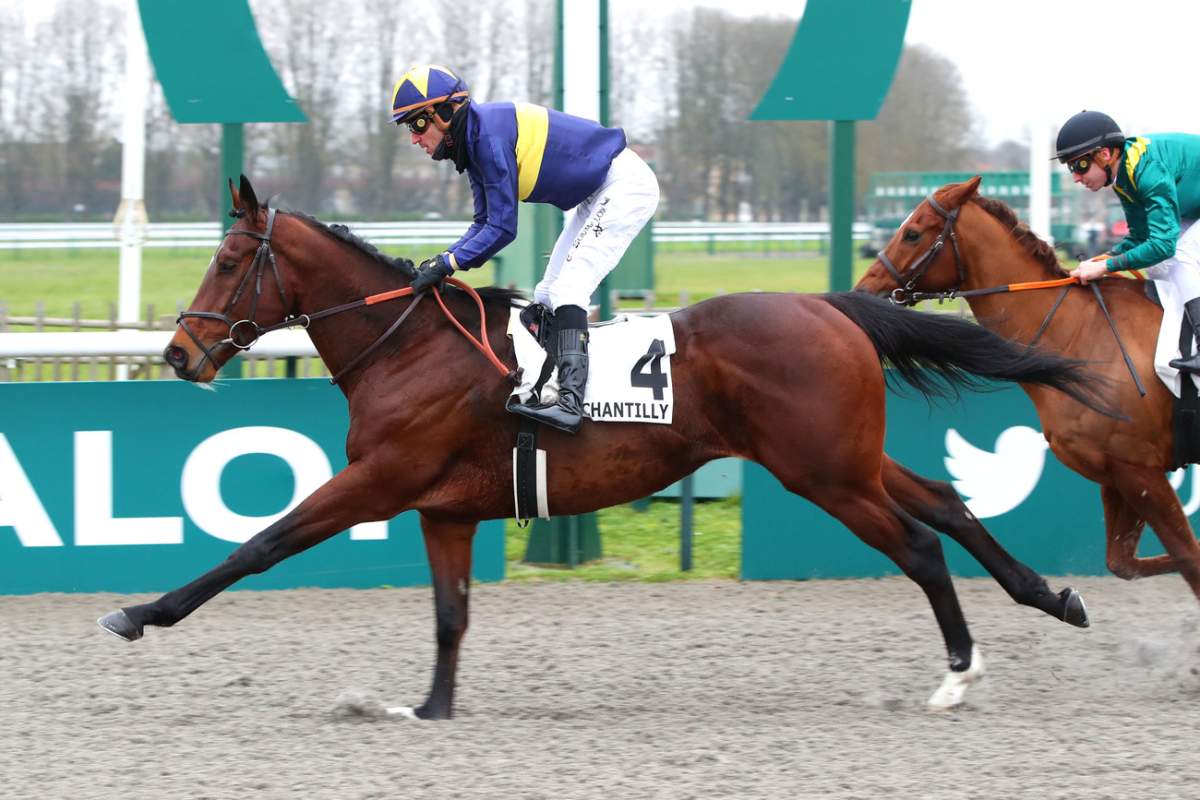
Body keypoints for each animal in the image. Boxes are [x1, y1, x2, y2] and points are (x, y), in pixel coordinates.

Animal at [97, 176, 1115, 718]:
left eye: (230, 261)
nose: (178, 352)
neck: (409, 345)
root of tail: (830, 306)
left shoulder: (378, 479)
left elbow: (259, 545)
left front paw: (140, 613)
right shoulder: (442, 508)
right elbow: (450, 614)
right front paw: (431, 706)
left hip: (823, 472)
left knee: (919, 544)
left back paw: (956, 676)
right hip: (849, 458)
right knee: (946, 506)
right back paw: (1052, 600)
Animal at [855, 175, 1200, 603]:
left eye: (912, 233)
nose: (862, 292)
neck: (1078, 334)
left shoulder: (1140, 470)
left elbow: (1189, 557)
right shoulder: (1117, 472)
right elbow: (1125, 562)